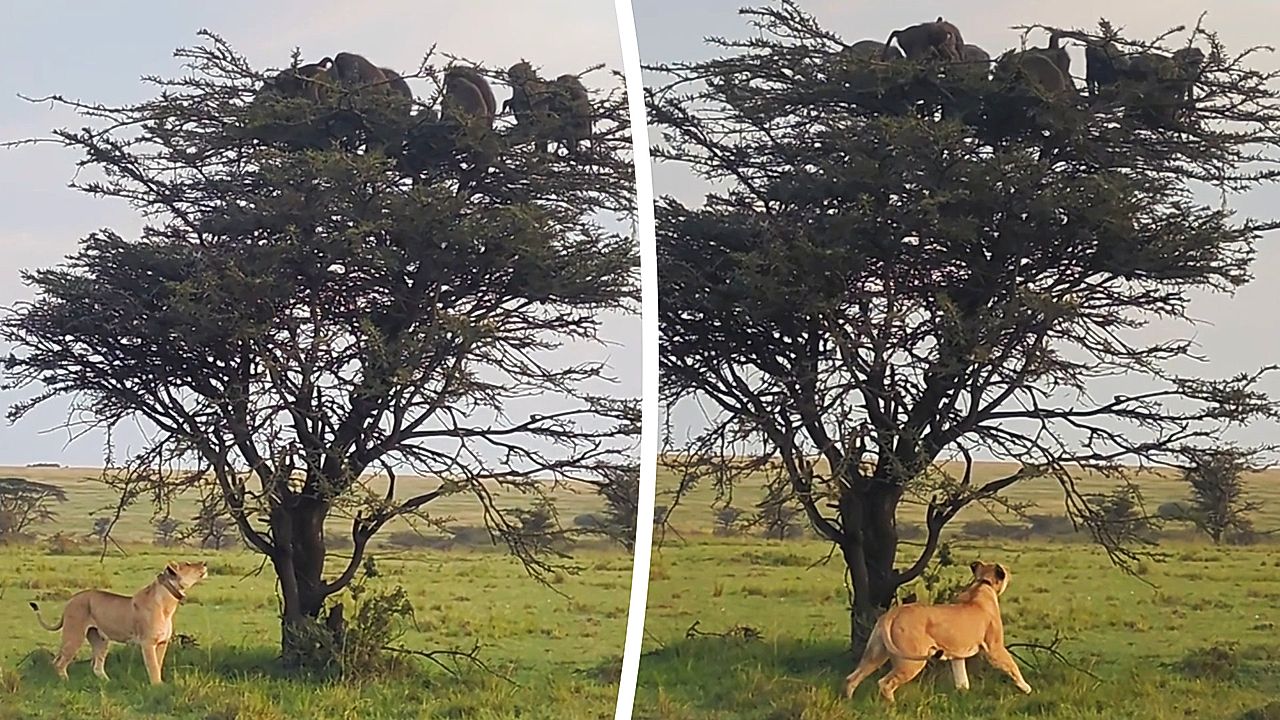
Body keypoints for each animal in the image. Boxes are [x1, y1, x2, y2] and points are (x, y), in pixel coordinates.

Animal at [29, 560, 208, 684]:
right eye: (188, 564)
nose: (205, 563)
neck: (168, 604)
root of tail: (72, 598)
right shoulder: (147, 642)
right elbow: (153, 666)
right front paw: (158, 686)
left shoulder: (162, 642)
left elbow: (158, 664)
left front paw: (160, 684)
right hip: (74, 635)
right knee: (59, 662)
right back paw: (65, 682)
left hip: (100, 639)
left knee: (96, 667)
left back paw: (108, 682)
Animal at [841, 560, 1032, 703]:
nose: (1009, 571)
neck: (984, 584)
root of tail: (893, 613)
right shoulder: (994, 649)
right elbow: (1012, 666)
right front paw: (1026, 688)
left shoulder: (957, 655)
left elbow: (962, 680)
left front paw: (963, 696)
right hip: (912, 661)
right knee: (885, 683)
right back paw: (892, 706)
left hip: (876, 654)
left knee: (853, 677)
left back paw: (849, 701)